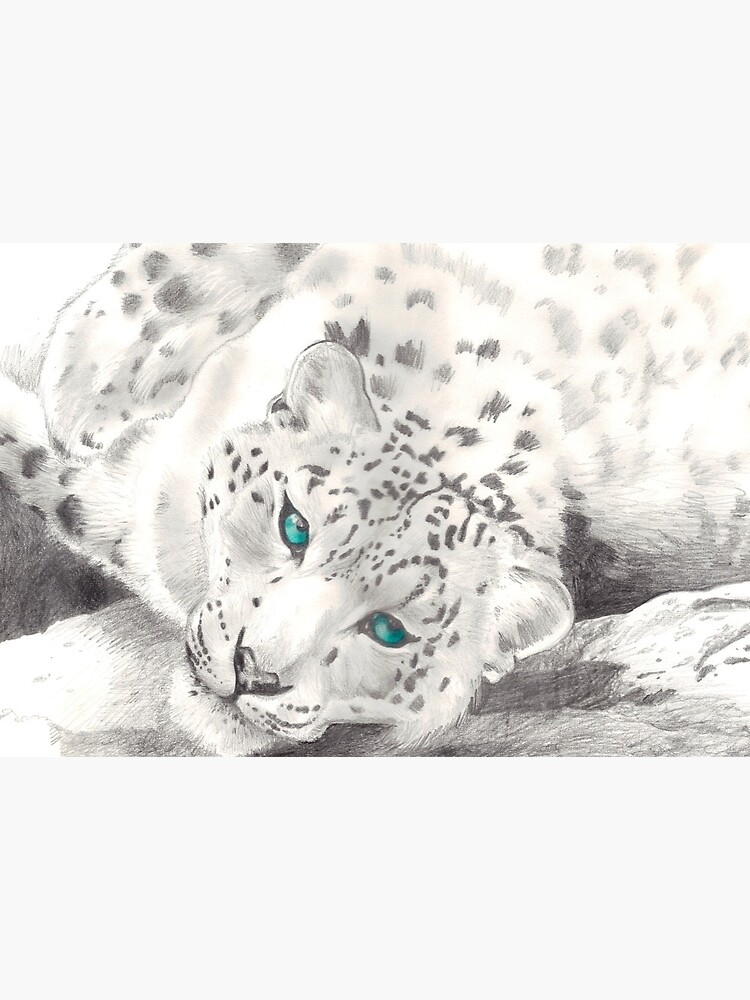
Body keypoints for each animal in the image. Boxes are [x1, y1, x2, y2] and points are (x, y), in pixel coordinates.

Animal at [2, 241, 750, 755]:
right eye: (294, 525)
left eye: (391, 631)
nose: (255, 671)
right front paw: (86, 381)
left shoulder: (125, 505)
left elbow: (47, 476)